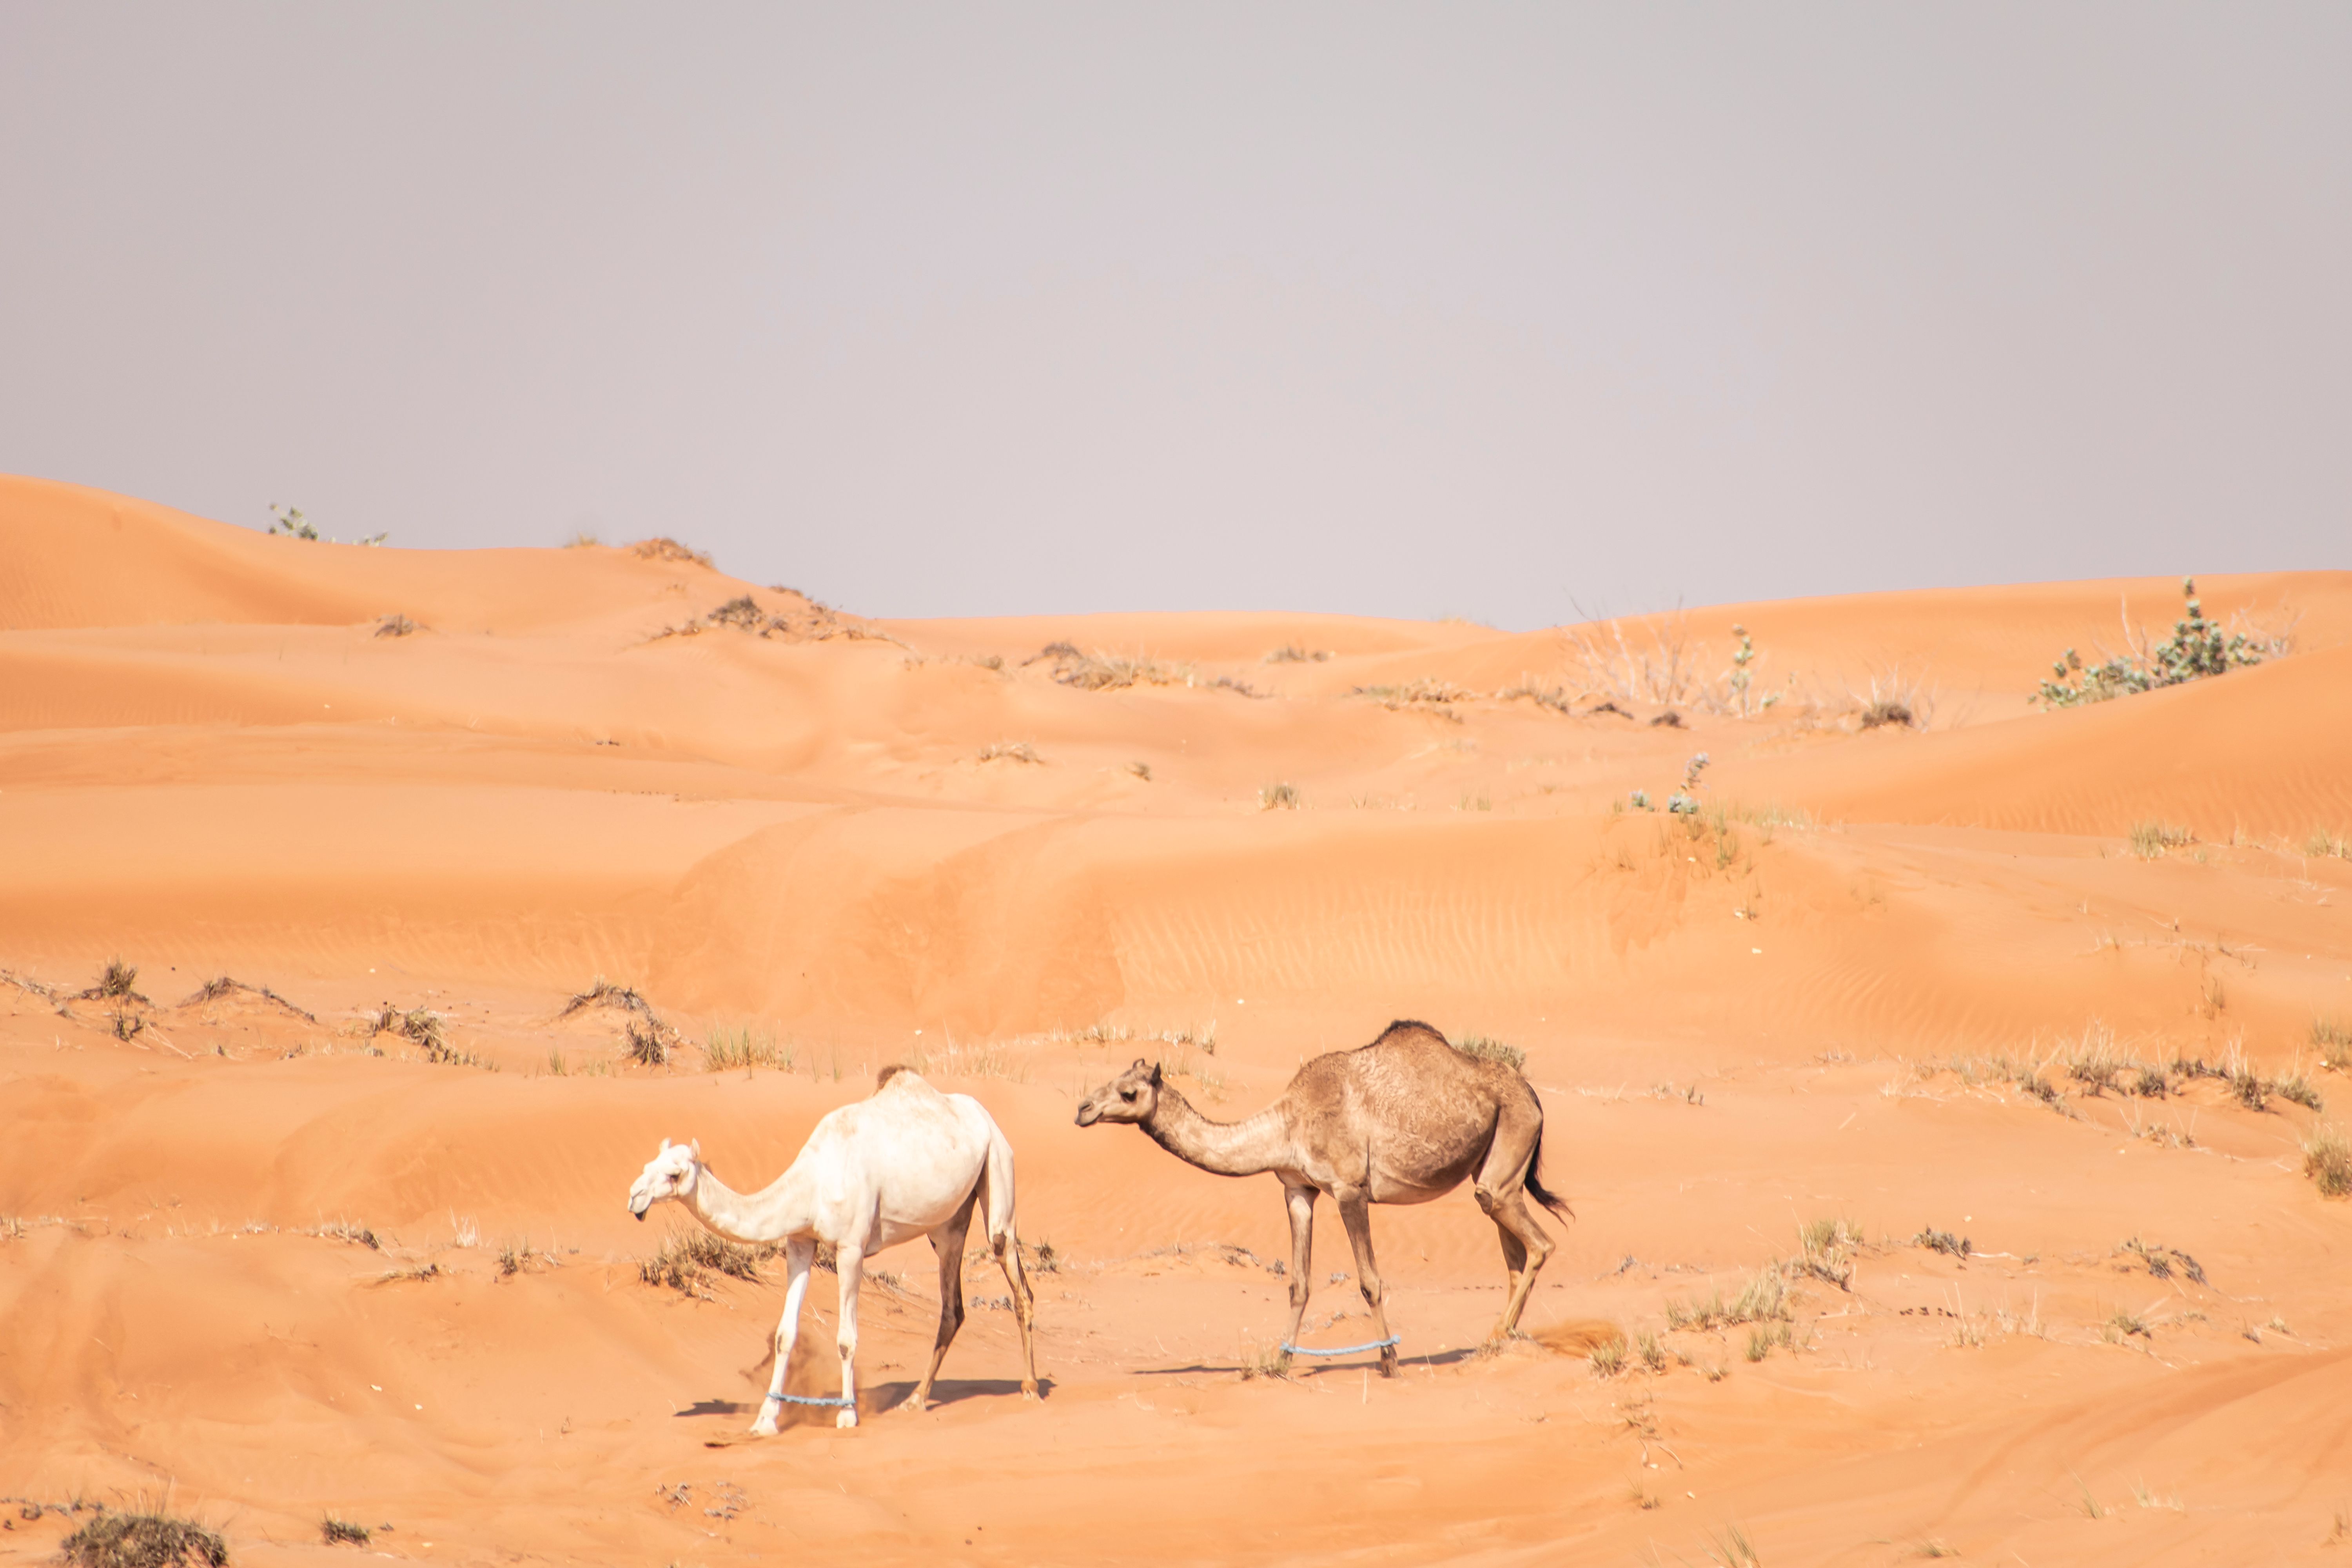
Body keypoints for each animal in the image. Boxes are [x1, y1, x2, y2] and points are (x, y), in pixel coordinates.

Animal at [626, 1065, 1038, 1432]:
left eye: (674, 1174)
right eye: (647, 1165)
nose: (635, 1198)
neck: (813, 1182)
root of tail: (985, 1117)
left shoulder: (851, 1247)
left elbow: (846, 1339)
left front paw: (847, 1415)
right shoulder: (800, 1241)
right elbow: (784, 1336)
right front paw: (765, 1421)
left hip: (999, 1167)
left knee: (1013, 1271)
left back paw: (1031, 1388)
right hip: (947, 1226)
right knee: (953, 1307)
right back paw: (916, 1399)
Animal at [1075, 1019, 1568, 1376]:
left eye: (1128, 1092)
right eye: (1111, 1080)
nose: (1083, 1109)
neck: (1288, 1125)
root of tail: (1532, 1094)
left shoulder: (1350, 1189)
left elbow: (1369, 1281)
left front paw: (1389, 1362)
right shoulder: (1298, 1189)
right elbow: (1299, 1282)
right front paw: (1280, 1360)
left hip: (1511, 1140)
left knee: (1538, 1241)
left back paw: (1494, 1337)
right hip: (1492, 1164)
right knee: (1513, 1252)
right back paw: (1502, 1340)